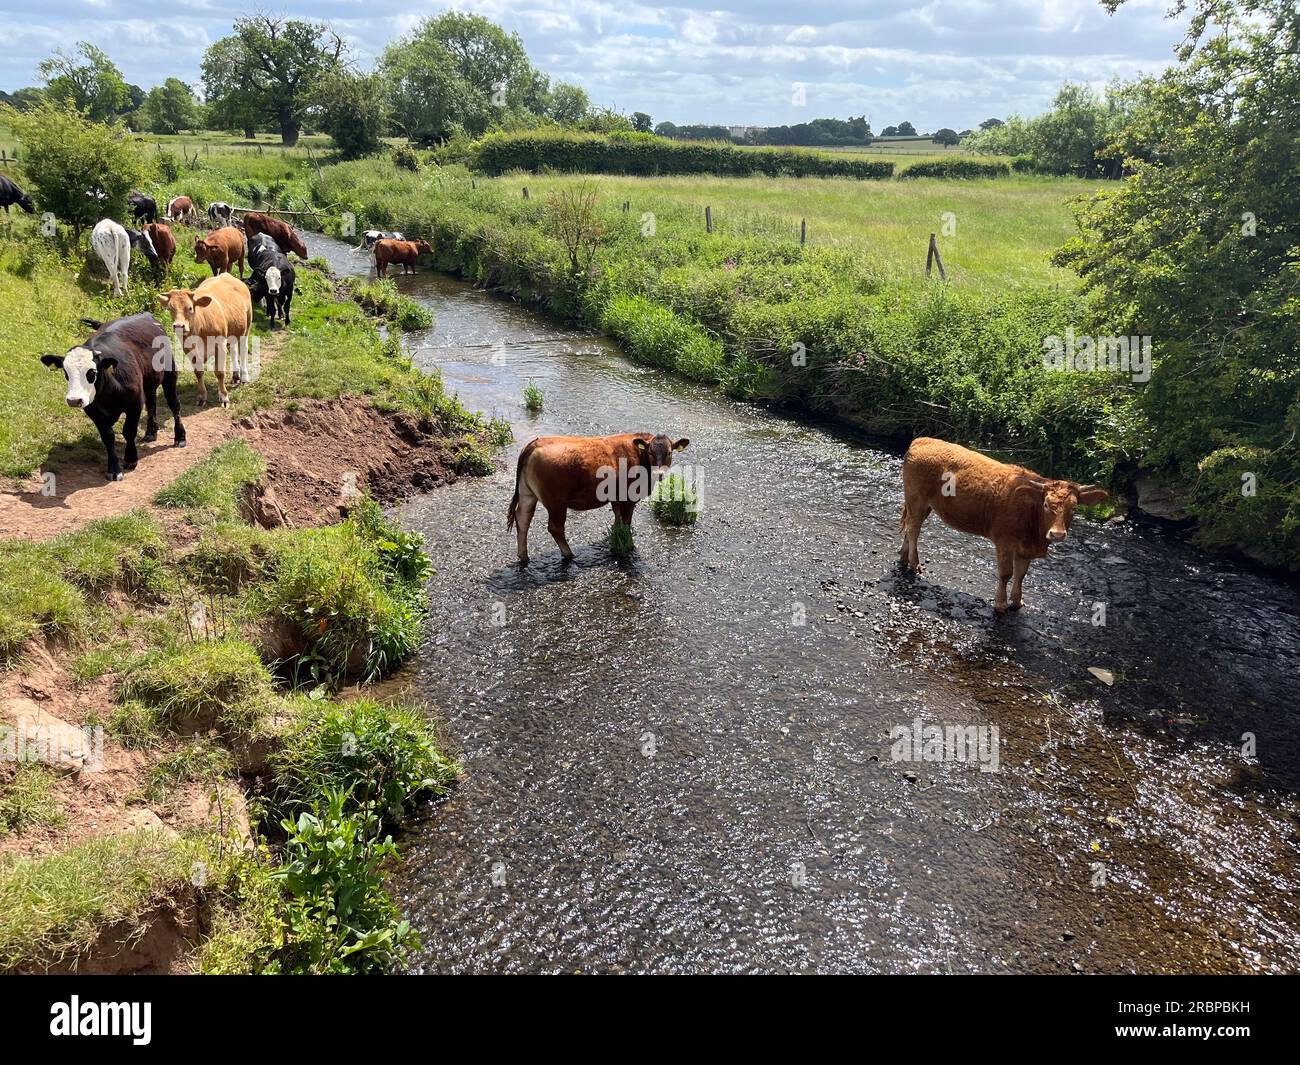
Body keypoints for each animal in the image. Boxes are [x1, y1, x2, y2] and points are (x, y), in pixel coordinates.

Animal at [38, 314, 186, 481]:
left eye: (92, 372)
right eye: (66, 372)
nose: (74, 400)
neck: (108, 392)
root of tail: (146, 314)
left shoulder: (135, 403)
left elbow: (129, 431)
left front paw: (130, 459)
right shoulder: (94, 411)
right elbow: (108, 437)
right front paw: (114, 468)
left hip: (169, 374)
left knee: (174, 405)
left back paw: (180, 437)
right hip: (149, 381)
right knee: (152, 402)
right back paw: (150, 432)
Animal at [158, 273, 253, 409]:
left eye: (190, 308)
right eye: (170, 308)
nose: (178, 326)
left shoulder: (220, 345)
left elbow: (219, 372)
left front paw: (224, 396)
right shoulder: (189, 350)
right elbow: (198, 373)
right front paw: (202, 396)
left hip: (247, 327)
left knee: (243, 350)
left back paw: (244, 376)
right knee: (234, 350)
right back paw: (236, 375)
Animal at [507, 433, 690, 563]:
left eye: (669, 452)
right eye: (651, 452)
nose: (659, 473)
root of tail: (535, 443)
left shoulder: (617, 497)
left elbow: (617, 517)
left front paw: (615, 537)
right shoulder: (628, 498)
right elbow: (626, 521)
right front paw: (628, 544)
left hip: (527, 493)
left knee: (522, 519)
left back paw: (523, 556)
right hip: (556, 501)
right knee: (555, 528)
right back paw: (569, 554)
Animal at [898, 437, 1109, 613]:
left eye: (1074, 508)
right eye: (1046, 504)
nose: (1057, 534)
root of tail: (923, 440)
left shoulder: (1025, 549)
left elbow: (1021, 574)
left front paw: (1017, 601)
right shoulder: (1004, 542)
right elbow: (1006, 573)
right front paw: (1000, 603)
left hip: (923, 505)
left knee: (910, 526)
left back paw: (904, 557)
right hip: (917, 500)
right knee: (914, 529)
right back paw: (914, 563)